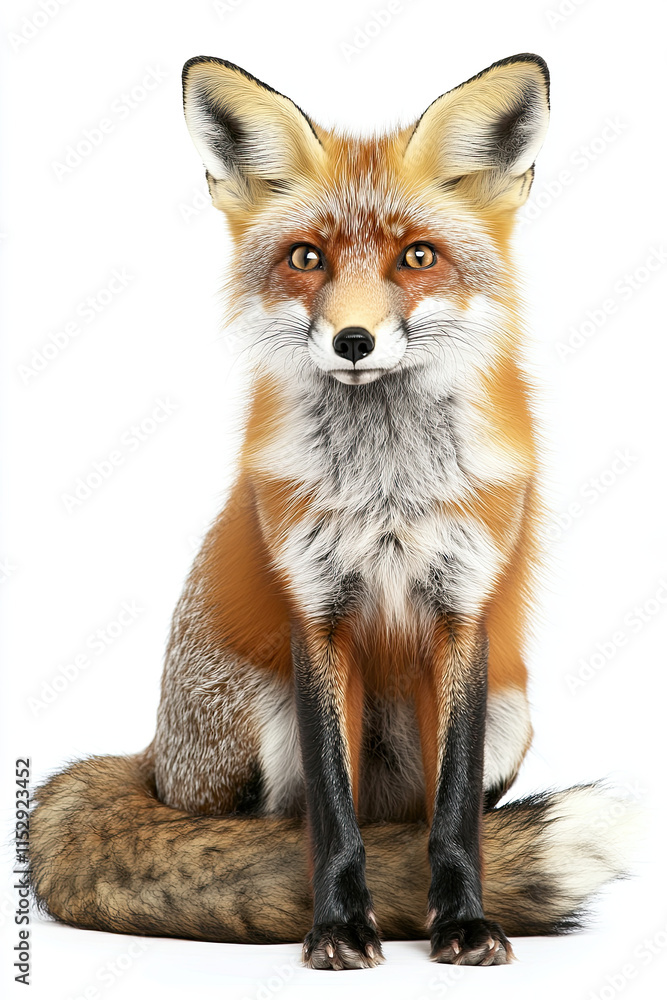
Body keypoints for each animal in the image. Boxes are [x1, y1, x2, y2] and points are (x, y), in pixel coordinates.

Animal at [29, 53, 636, 970]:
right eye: (305, 257)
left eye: (416, 256)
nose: (353, 341)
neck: (385, 490)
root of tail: (150, 759)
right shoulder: (315, 614)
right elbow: (330, 811)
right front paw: (339, 924)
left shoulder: (462, 613)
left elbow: (455, 815)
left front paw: (461, 920)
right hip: (256, 722)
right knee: (260, 829)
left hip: (512, 715)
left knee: (421, 818)